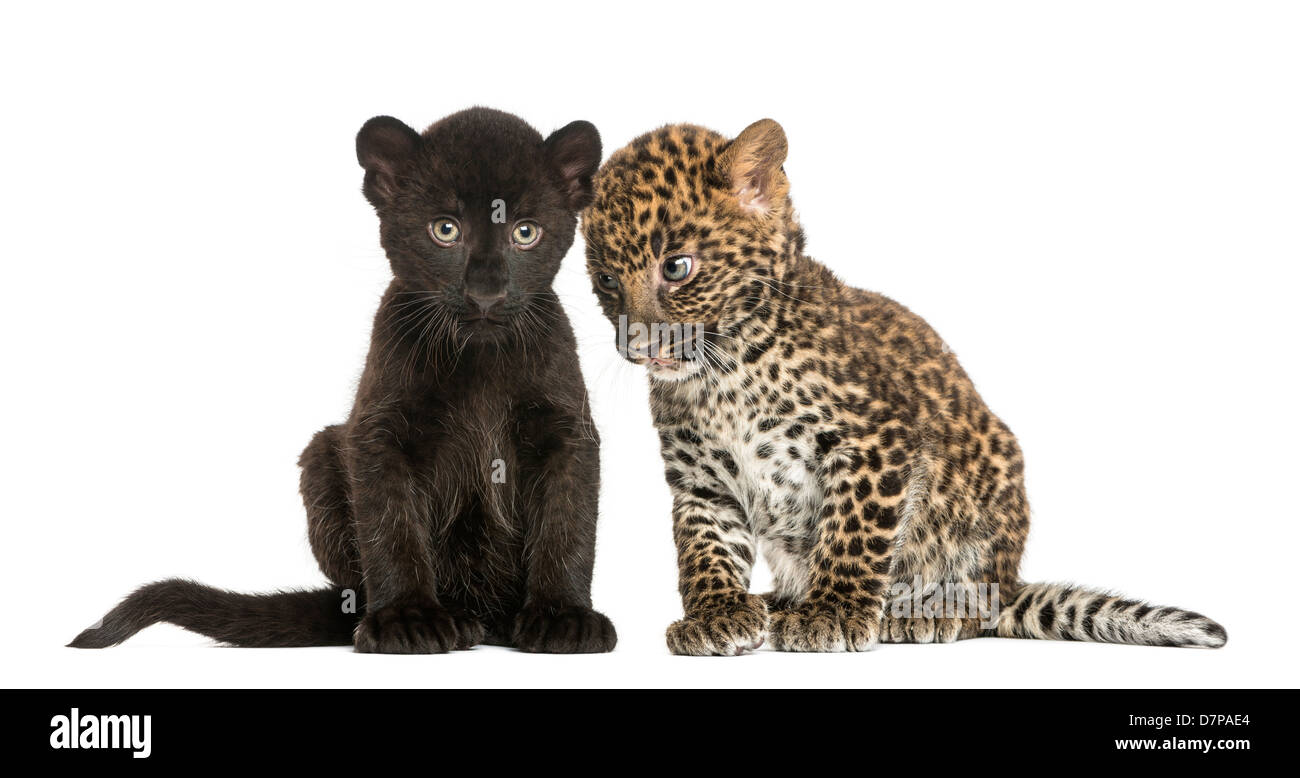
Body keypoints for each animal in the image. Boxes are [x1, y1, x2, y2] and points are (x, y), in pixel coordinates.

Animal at [580, 119, 1227, 655]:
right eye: (607, 280)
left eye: (676, 267)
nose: (637, 347)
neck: (726, 372)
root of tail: (1012, 580)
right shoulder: (702, 479)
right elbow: (705, 547)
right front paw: (717, 615)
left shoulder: (874, 441)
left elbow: (853, 533)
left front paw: (833, 612)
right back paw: (774, 604)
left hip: (990, 499)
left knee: (977, 603)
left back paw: (920, 612)